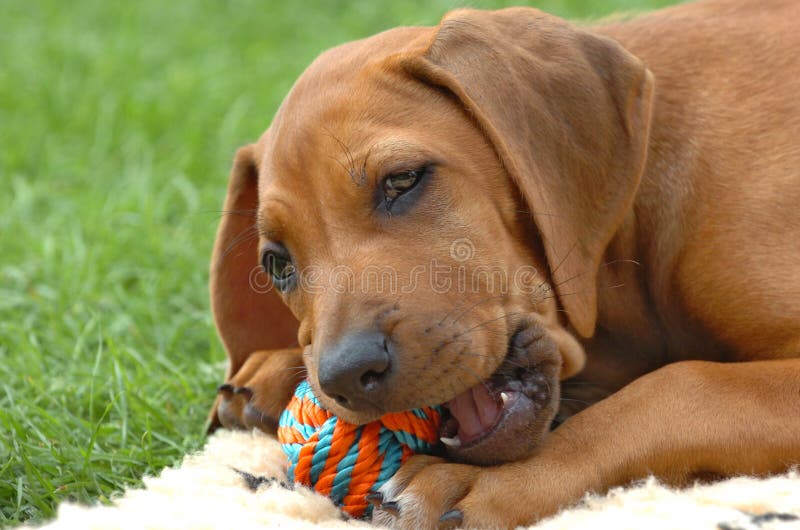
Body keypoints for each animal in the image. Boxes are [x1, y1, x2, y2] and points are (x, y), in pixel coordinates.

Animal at [208, 1, 800, 524]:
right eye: (277, 264)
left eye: (403, 180)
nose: (348, 376)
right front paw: (276, 367)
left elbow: (681, 383)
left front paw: (484, 482)